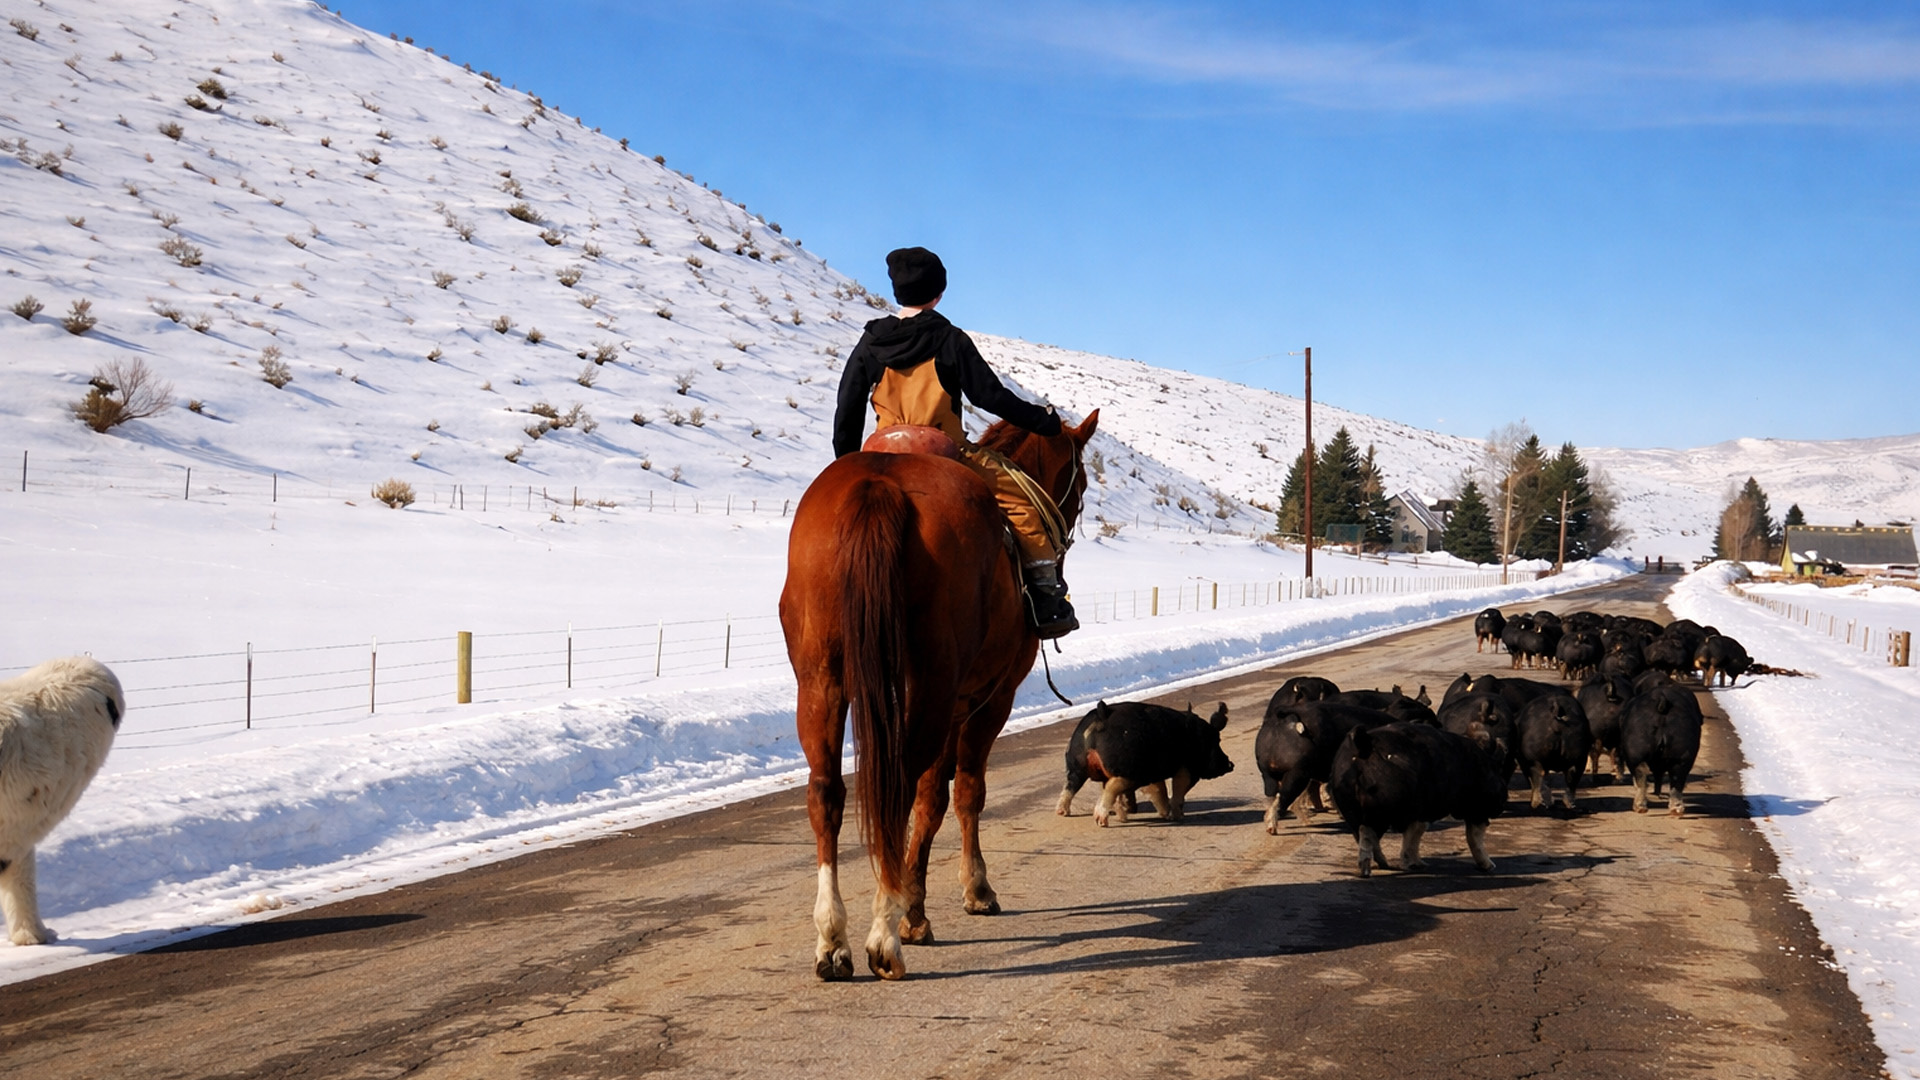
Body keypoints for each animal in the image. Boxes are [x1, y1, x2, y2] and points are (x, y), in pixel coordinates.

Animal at [1058, 701, 1232, 825]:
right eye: (1217, 740)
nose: (1230, 764)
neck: (1198, 739)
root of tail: (1102, 715)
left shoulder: (1155, 773)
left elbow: (1159, 790)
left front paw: (1166, 814)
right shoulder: (1185, 770)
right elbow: (1178, 793)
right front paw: (1177, 817)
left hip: (1077, 767)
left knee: (1071, 787)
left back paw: (1064, 812)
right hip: (1129, 770)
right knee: (1112, 787)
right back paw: (1102, 820)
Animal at [1328, 721, 1508, 877]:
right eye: (1497, 768)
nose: (1503, 799)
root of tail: (1362, 744)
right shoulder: (1462, 810)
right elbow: (1420, 832)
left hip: (1353, 811)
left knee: (1364, 836)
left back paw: (1383, 865)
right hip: (1377, 814)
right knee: (1367, 833)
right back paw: (1367, 871)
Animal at [1619, 685, 1704, 816]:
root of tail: (1663, 701)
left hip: (1635, 751)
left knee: (1641, 774)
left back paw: (1640, 807)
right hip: (1682, 753)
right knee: (1677, 778)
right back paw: (1676, 810)